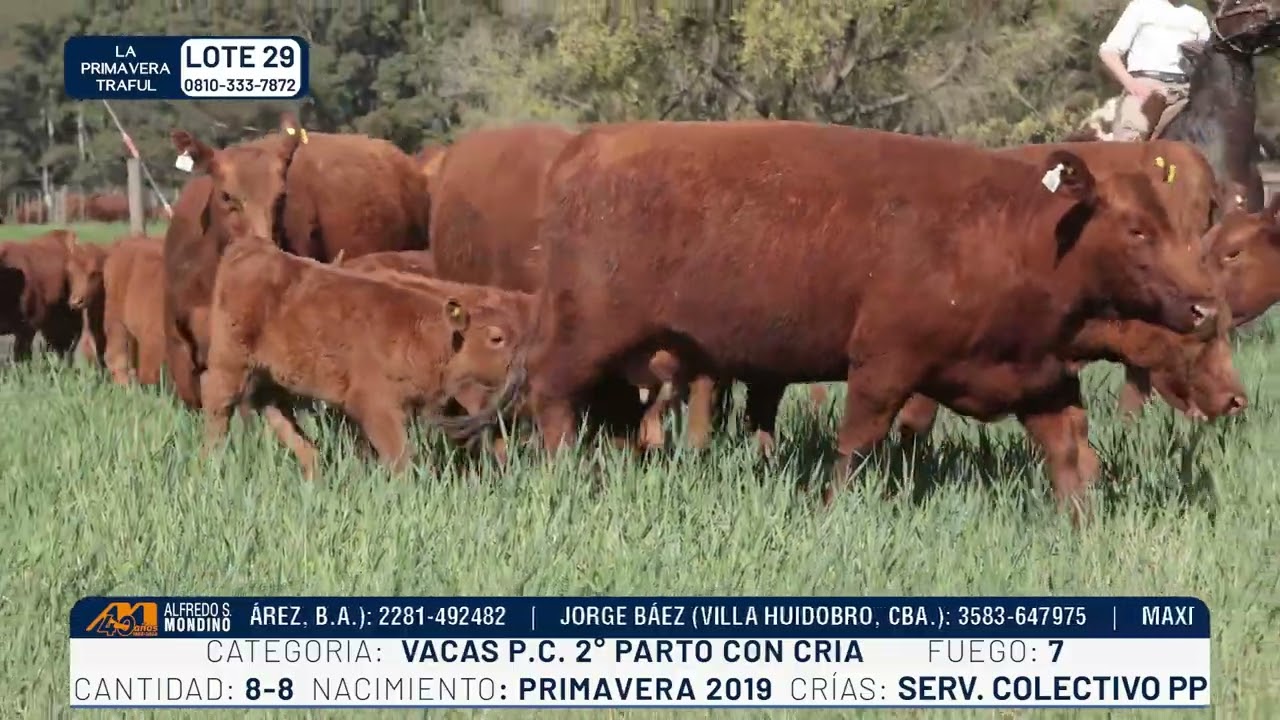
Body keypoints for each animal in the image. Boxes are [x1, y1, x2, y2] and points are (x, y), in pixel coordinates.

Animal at [201, 239, 528, 479]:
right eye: (496, 337)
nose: (522, 369)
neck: (429, 333)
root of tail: (250, 248)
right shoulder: (376, 406)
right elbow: (400, 457)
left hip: (269, 375)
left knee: (275, 412)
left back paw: (314, 469)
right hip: (231, 364)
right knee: (219, 406)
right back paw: (211, 464)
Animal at [500, 121, 1218, 523]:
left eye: (1182, 225)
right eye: (1136, 228)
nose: (1204, 305)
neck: (1015, 236)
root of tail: (590, 145)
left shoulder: (1039, 377)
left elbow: (1071, 456)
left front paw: (1083, 528)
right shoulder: (883, 363)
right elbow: (856, 446)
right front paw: (830, 513)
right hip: (586, 334)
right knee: (552, 397)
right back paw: (567, 473)